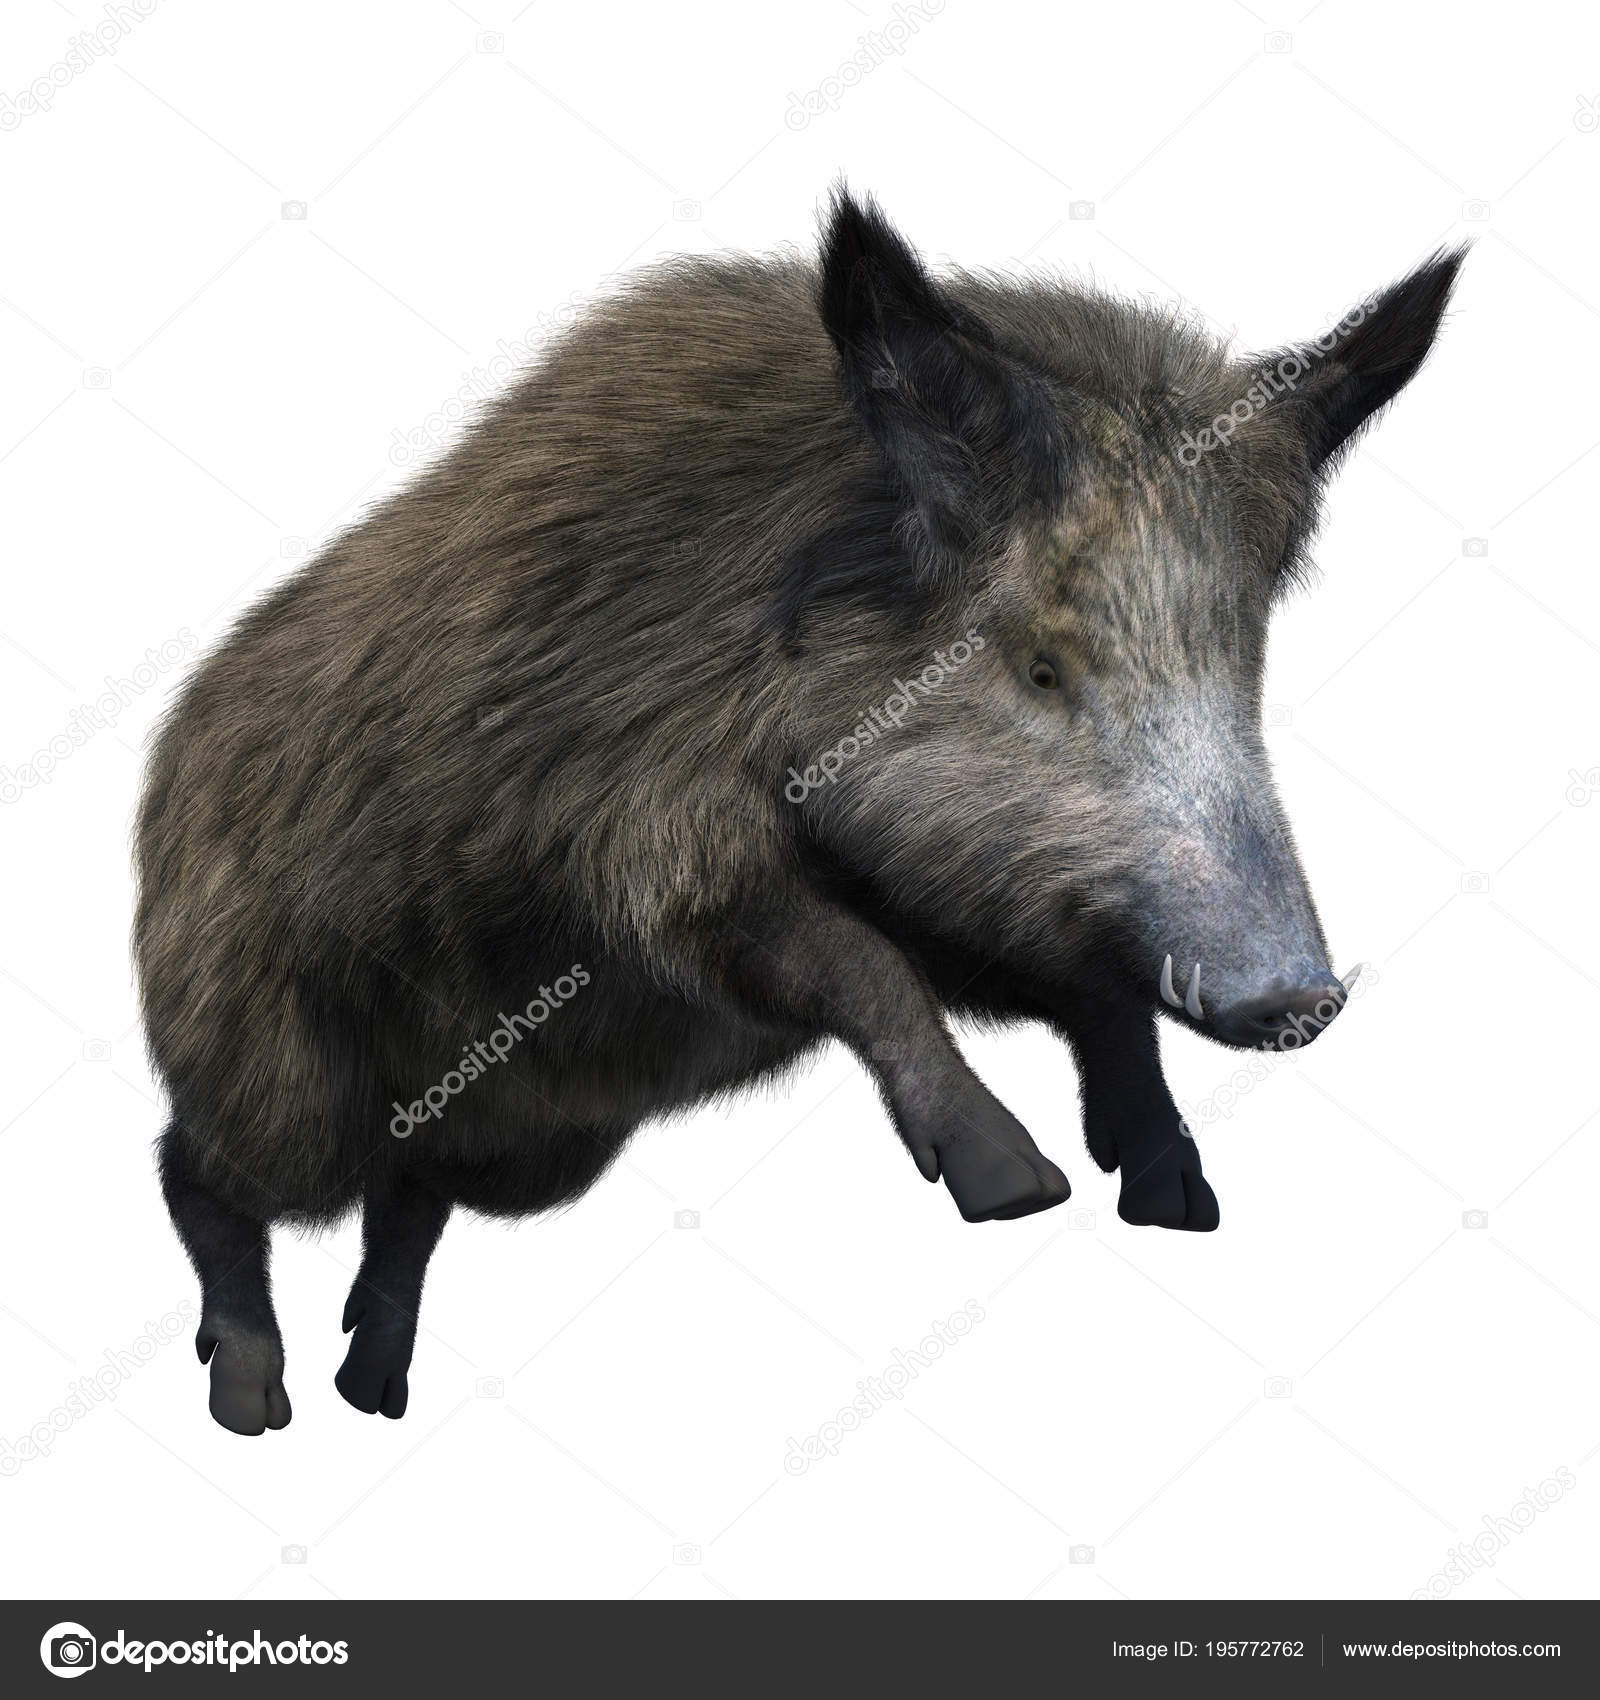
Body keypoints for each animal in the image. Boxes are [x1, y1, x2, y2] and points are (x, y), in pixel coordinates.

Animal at [136, 190, 1462, 1432]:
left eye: (1244, 656)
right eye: (1039, 665)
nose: (1301, 998)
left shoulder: (957, 891)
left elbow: (1079, 990)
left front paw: (1178, 1203)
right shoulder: (653, 854)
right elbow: (857, 962)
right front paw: (1017, 1188)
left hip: (523, 1139)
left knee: (408, 1202)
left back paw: (375, 1391)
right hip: (275, 1065)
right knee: (199, 1173)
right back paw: (255, 1403)